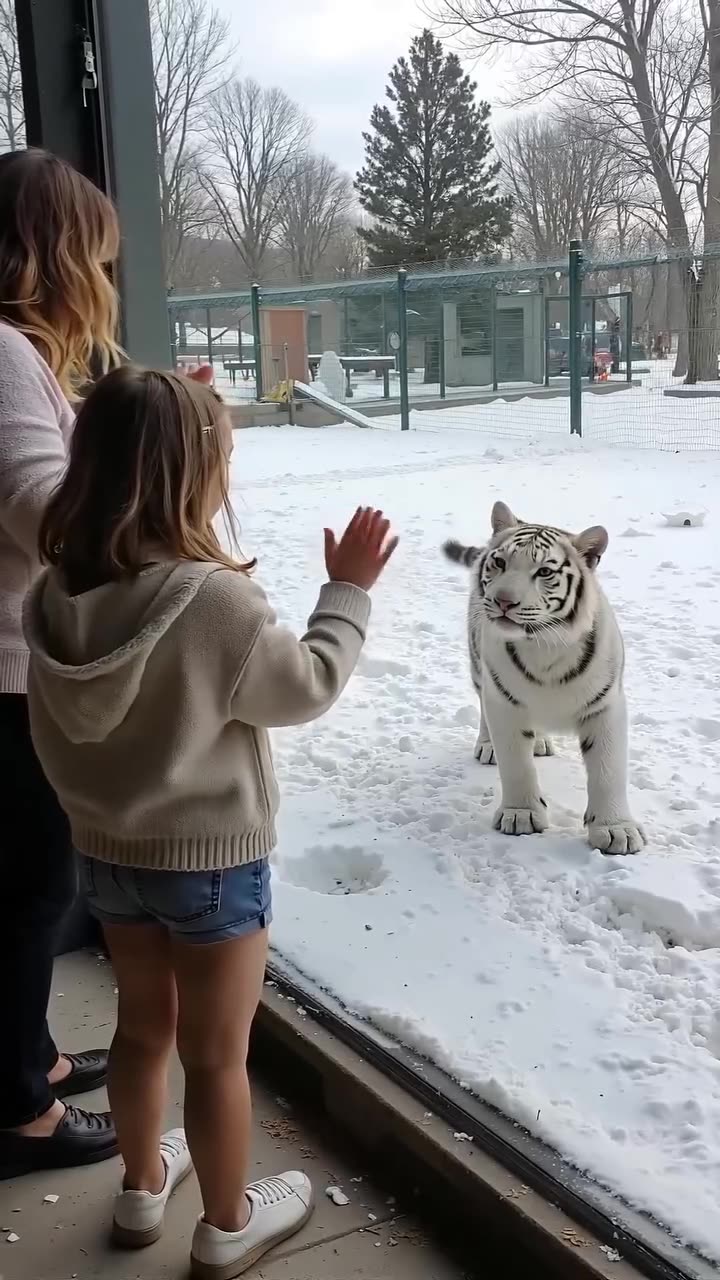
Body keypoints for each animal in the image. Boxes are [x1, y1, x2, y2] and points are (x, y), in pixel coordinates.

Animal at [443, 500, 645, 856]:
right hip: (479, 668)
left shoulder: (605, 706)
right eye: (500, 562)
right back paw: (488, 746)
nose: (503, 601)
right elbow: (516, 764)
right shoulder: (504, 703)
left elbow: (608, 770)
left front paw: (616, 829)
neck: (545, 644)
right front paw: (520, 814)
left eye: (545, 572)